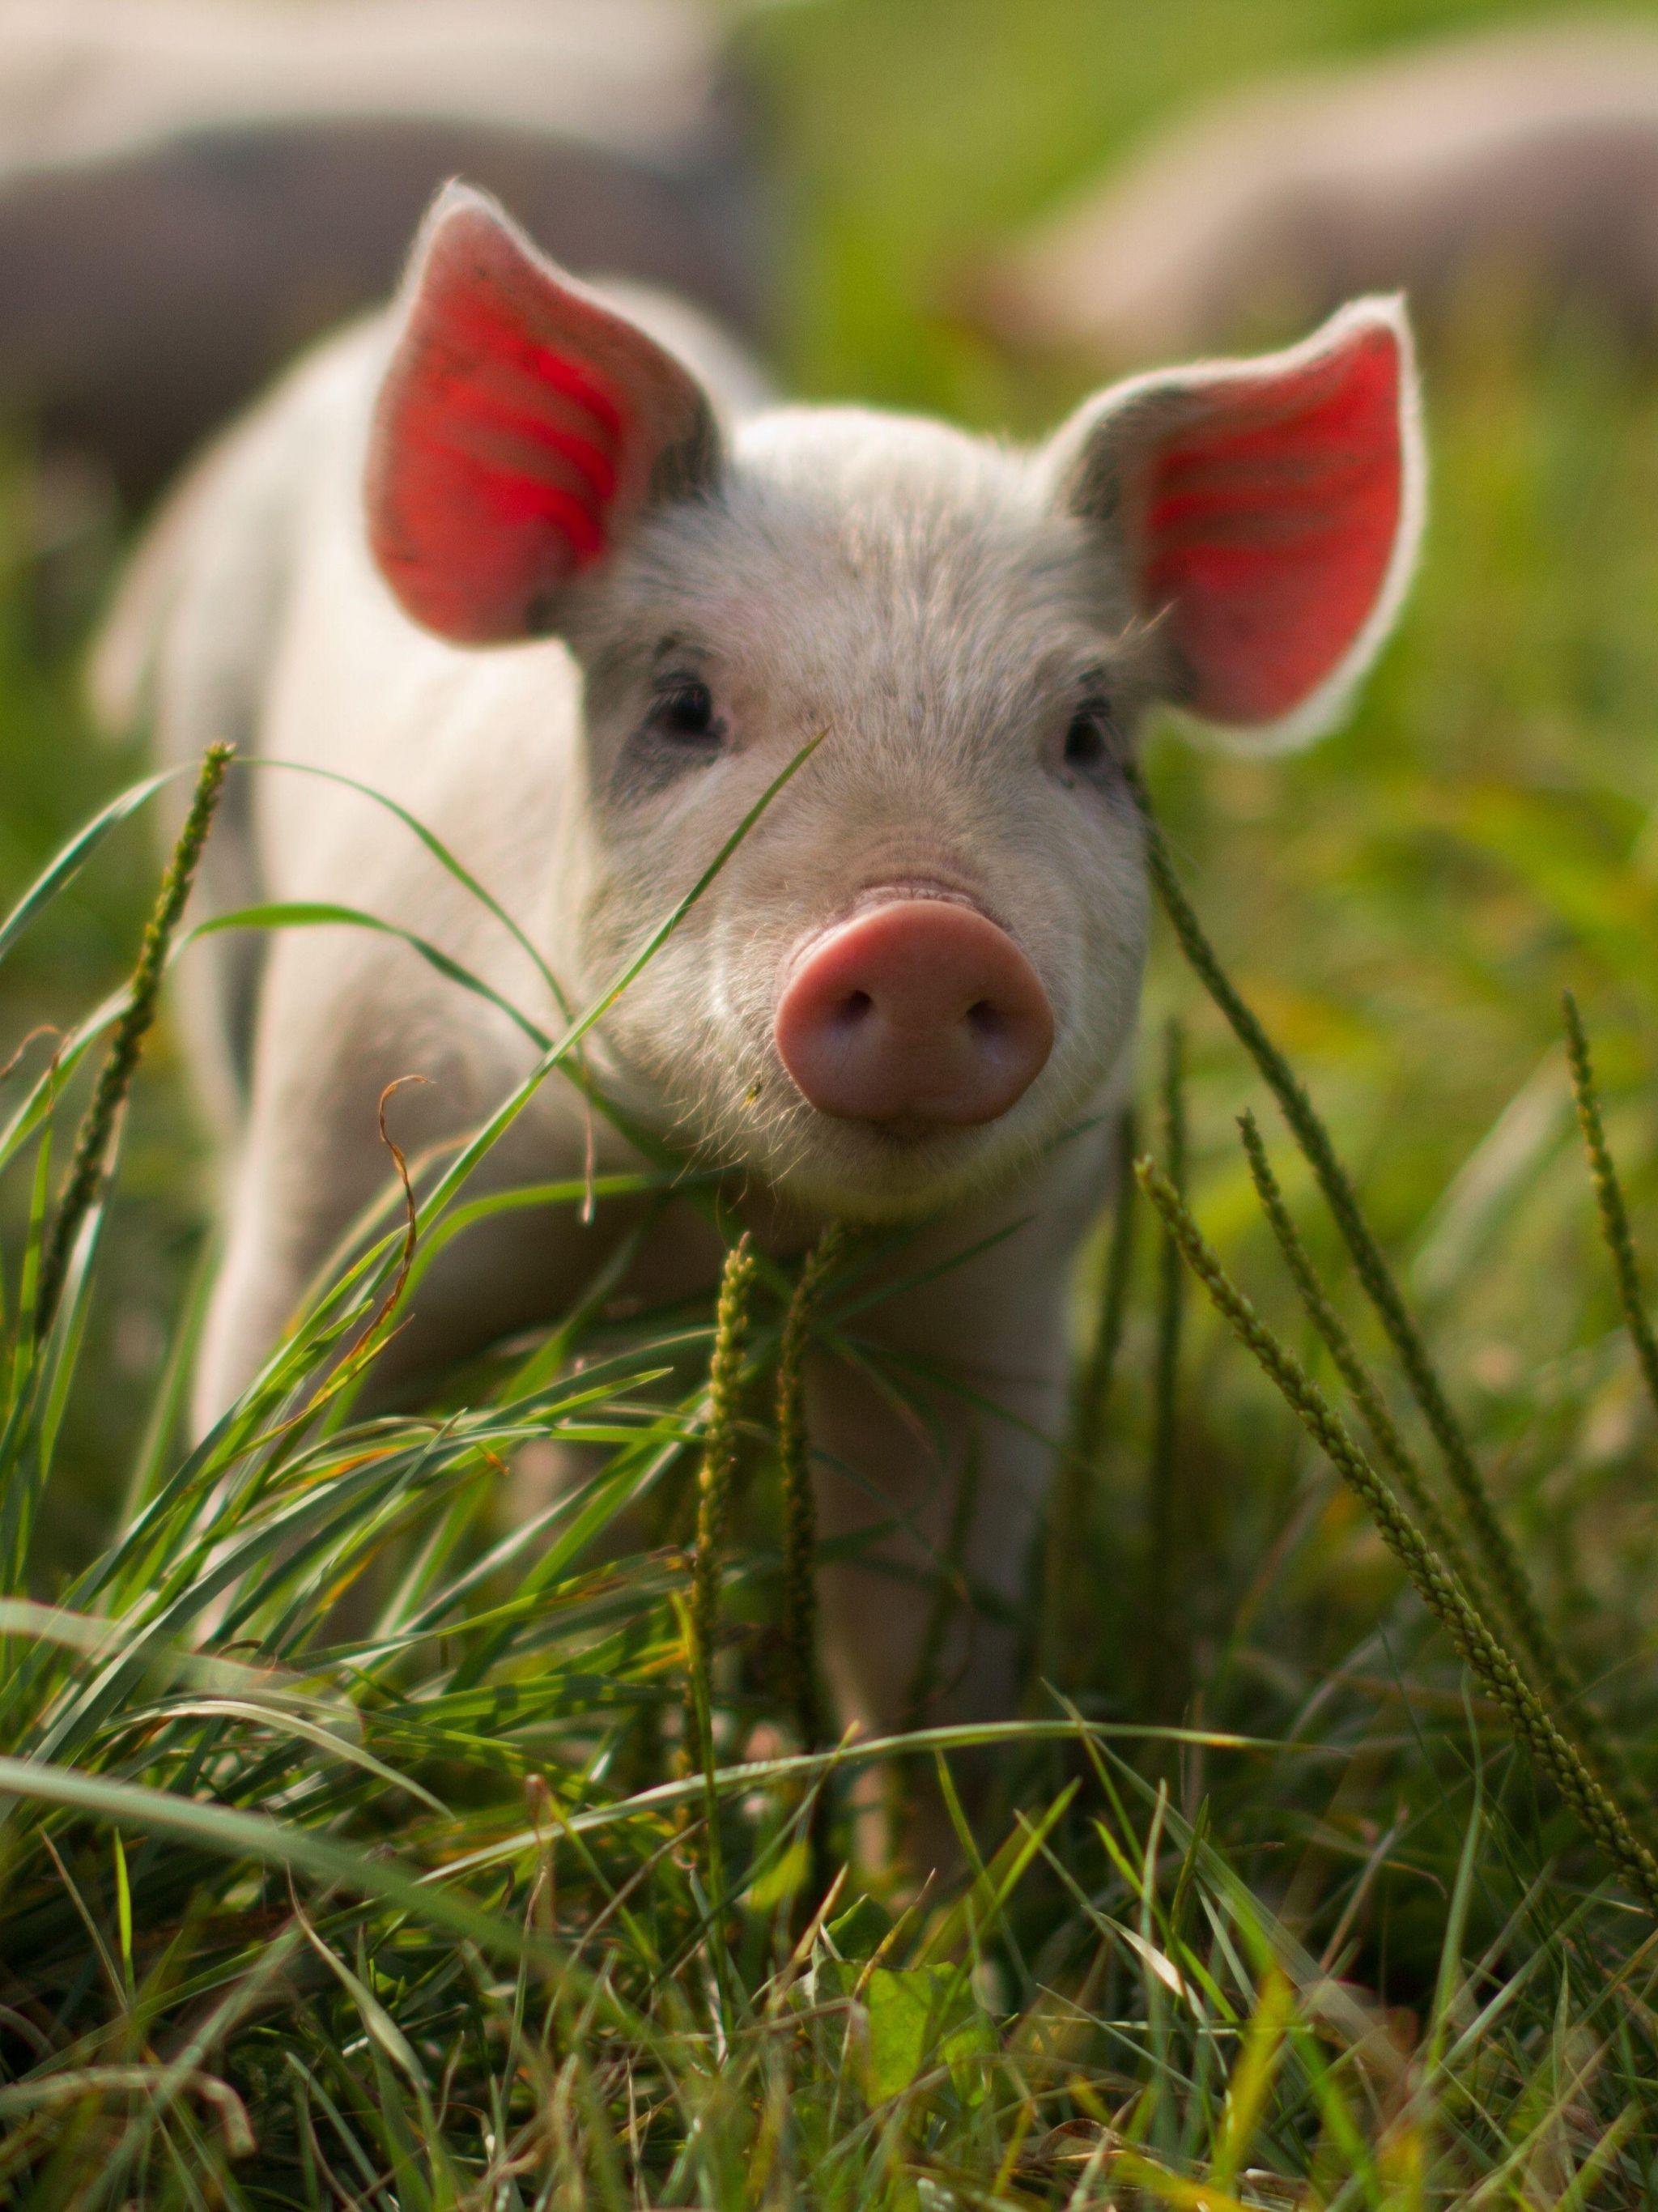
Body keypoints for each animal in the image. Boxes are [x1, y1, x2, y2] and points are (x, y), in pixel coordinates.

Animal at [94, 185, 1424, 1842]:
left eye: (1087, 733)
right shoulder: (345, 1150)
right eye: (683, 706)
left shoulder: (991, 1295)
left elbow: (923, 1633)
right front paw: (262, 1780)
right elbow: (279, 1460)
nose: (923, 934)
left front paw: (926, 1902)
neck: (713, 1200)